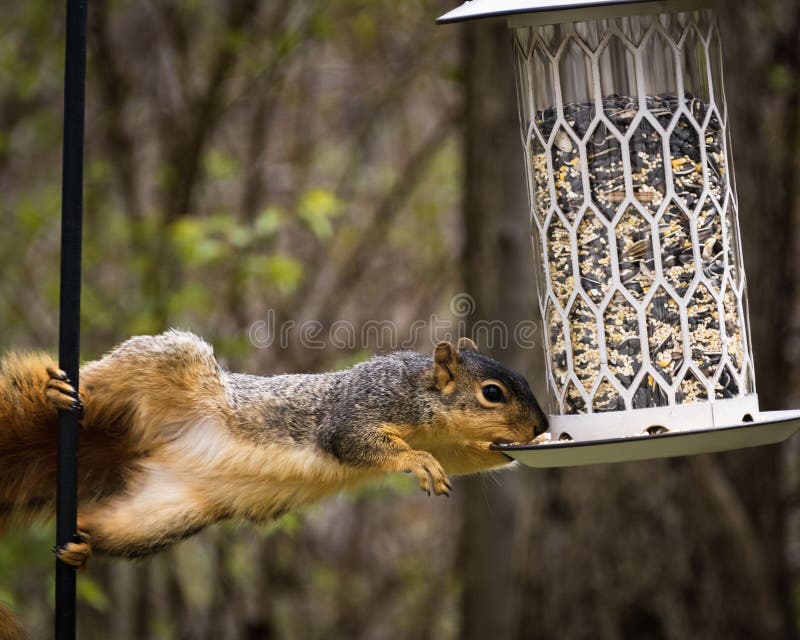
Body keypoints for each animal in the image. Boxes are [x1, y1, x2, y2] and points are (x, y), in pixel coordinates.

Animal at [0, 330, 546, 576]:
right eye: (492, 393)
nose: (541, 426)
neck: (429, 405)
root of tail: (136, 447)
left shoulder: (452, 444)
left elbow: (465, 456)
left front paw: (516, 448)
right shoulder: (362, 407)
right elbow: (354, 440)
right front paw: (417, 463)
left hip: (163, 516)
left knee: (111, 527)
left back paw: (83, 543)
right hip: (165, 365)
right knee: (100, 381)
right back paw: (60, 392)